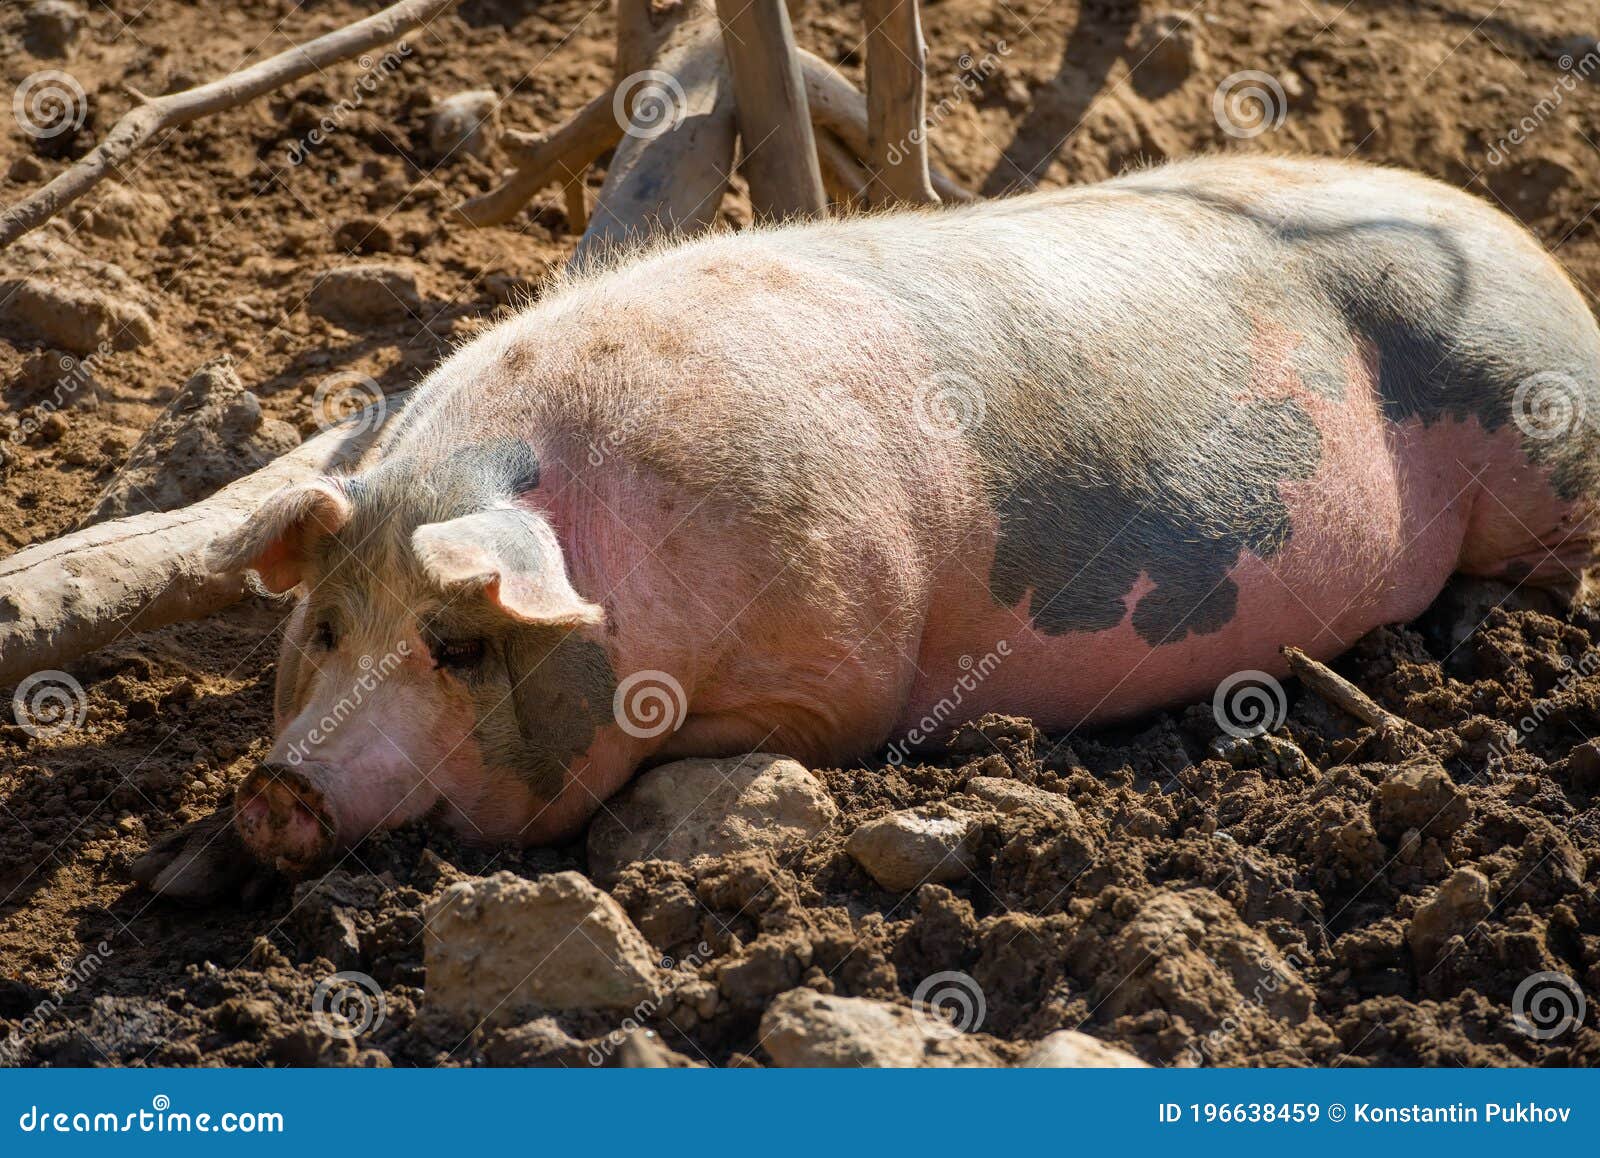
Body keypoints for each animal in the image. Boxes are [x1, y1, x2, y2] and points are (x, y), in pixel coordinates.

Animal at [136, 154, 1600, 895]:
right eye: (327, 628)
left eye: (453, 644)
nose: (280, 787)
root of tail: (1524, 240)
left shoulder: (836, 669)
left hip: (1538, 425)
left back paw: (1474, 632)